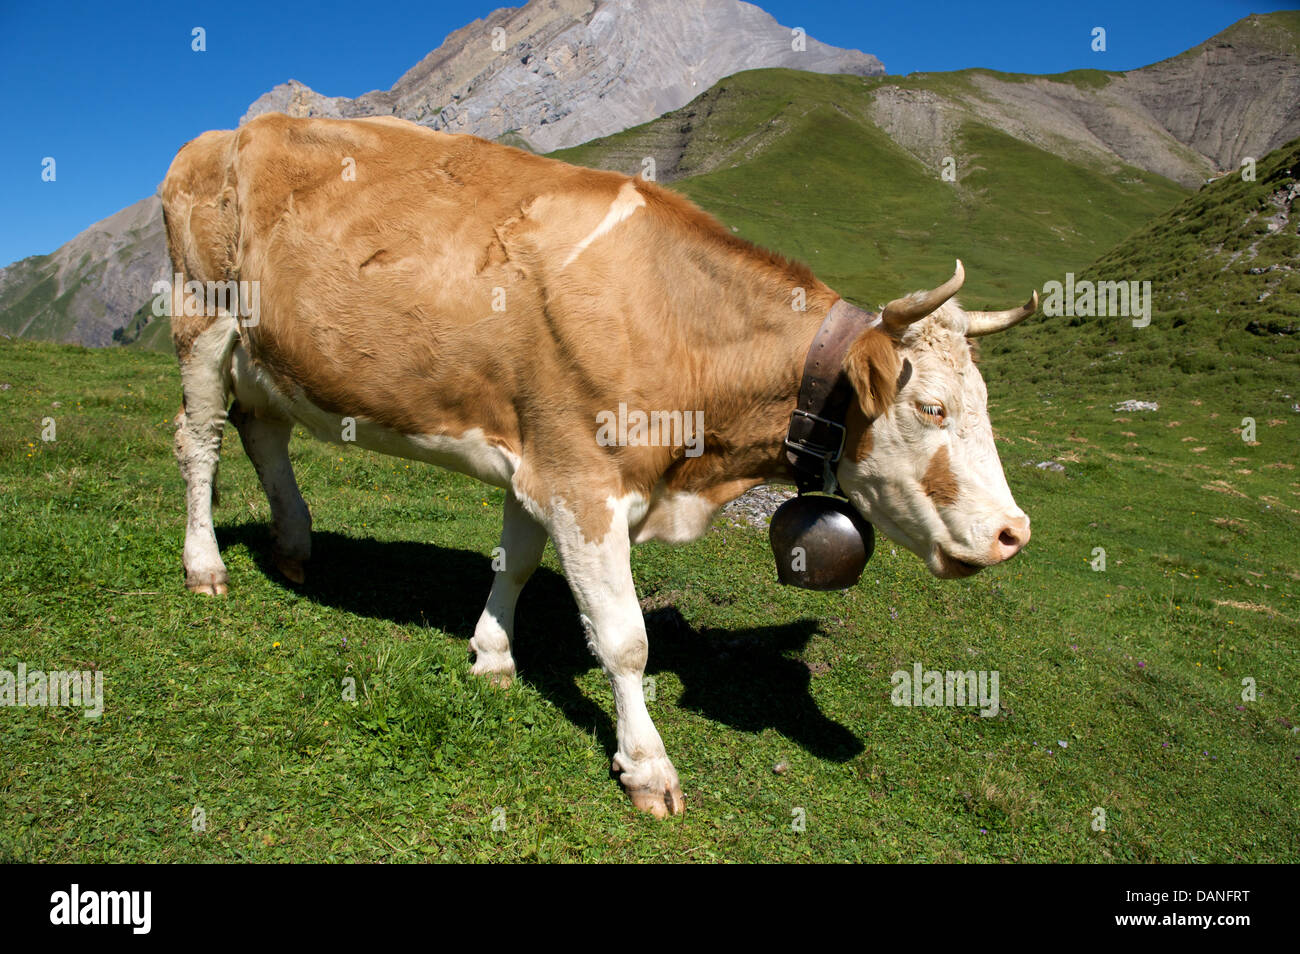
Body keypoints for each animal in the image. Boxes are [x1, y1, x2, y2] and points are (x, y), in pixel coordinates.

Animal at [160, 113, 1037, 817]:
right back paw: (206, 566)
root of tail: (227, 131)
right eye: (933, 409)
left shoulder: (540, 458)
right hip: (203, 319)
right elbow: (624, 639)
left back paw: (294, 545)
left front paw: (492, 657)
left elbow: (514, 562)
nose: (1014, 534)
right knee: (200, 441)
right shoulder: (582, 479)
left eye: (986, 402)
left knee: (263, 433)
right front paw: (647, 768)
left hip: (269, 355)